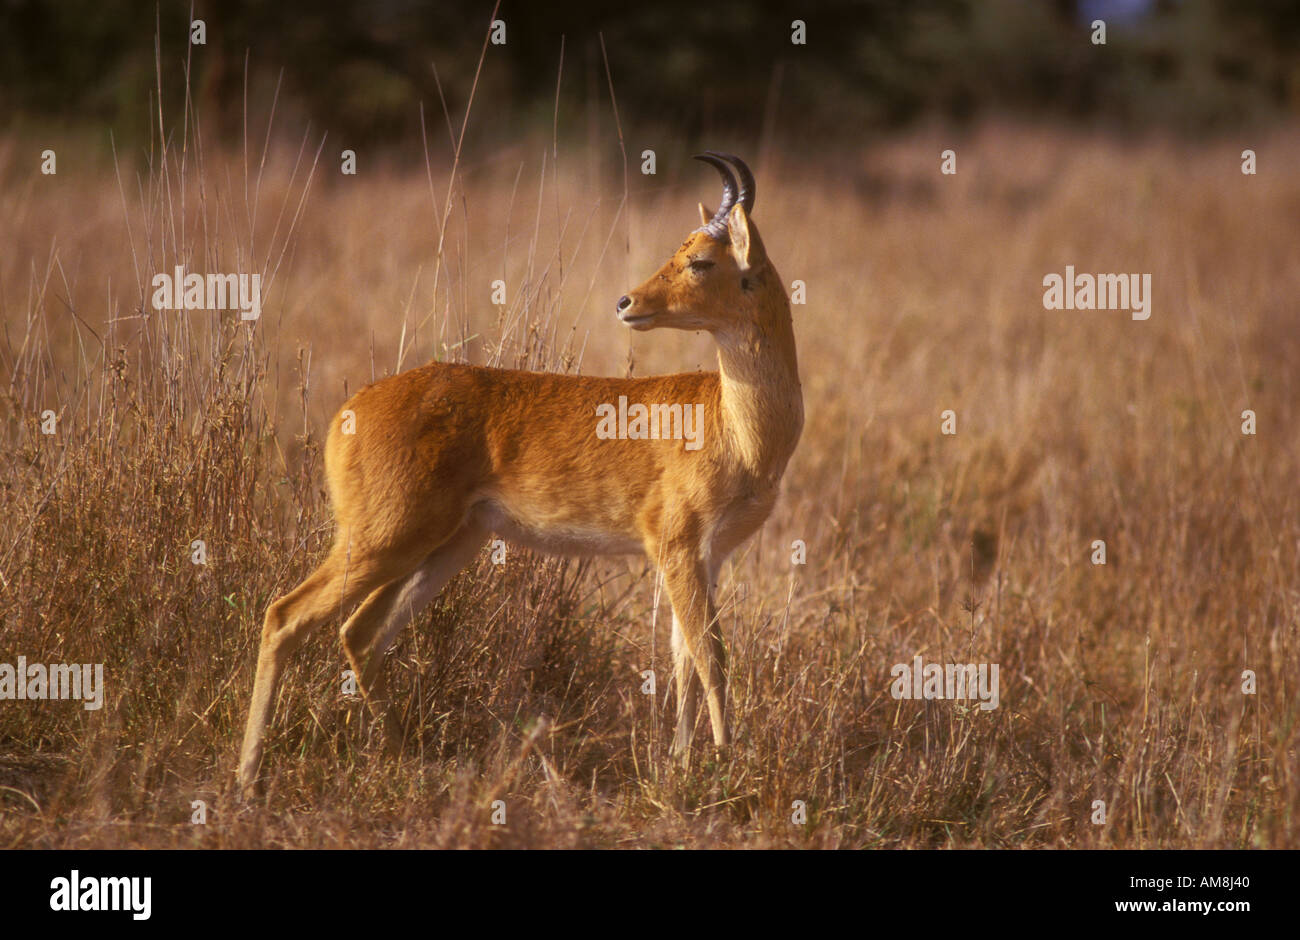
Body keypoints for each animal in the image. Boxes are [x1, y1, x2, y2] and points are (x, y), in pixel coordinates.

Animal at [237, 152, 803, 794]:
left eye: (701, 259)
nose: (627, 303)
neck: (734, 424)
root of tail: (347, 412)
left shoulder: (706, 556)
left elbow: (686, 658)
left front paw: (683, 765)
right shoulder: (677, 546)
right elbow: (711, 658)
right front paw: (725, 770)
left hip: (449, 543)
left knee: (361, 632)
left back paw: (404, 759)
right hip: (386, 539)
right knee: (285, 615)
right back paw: (248, 777)